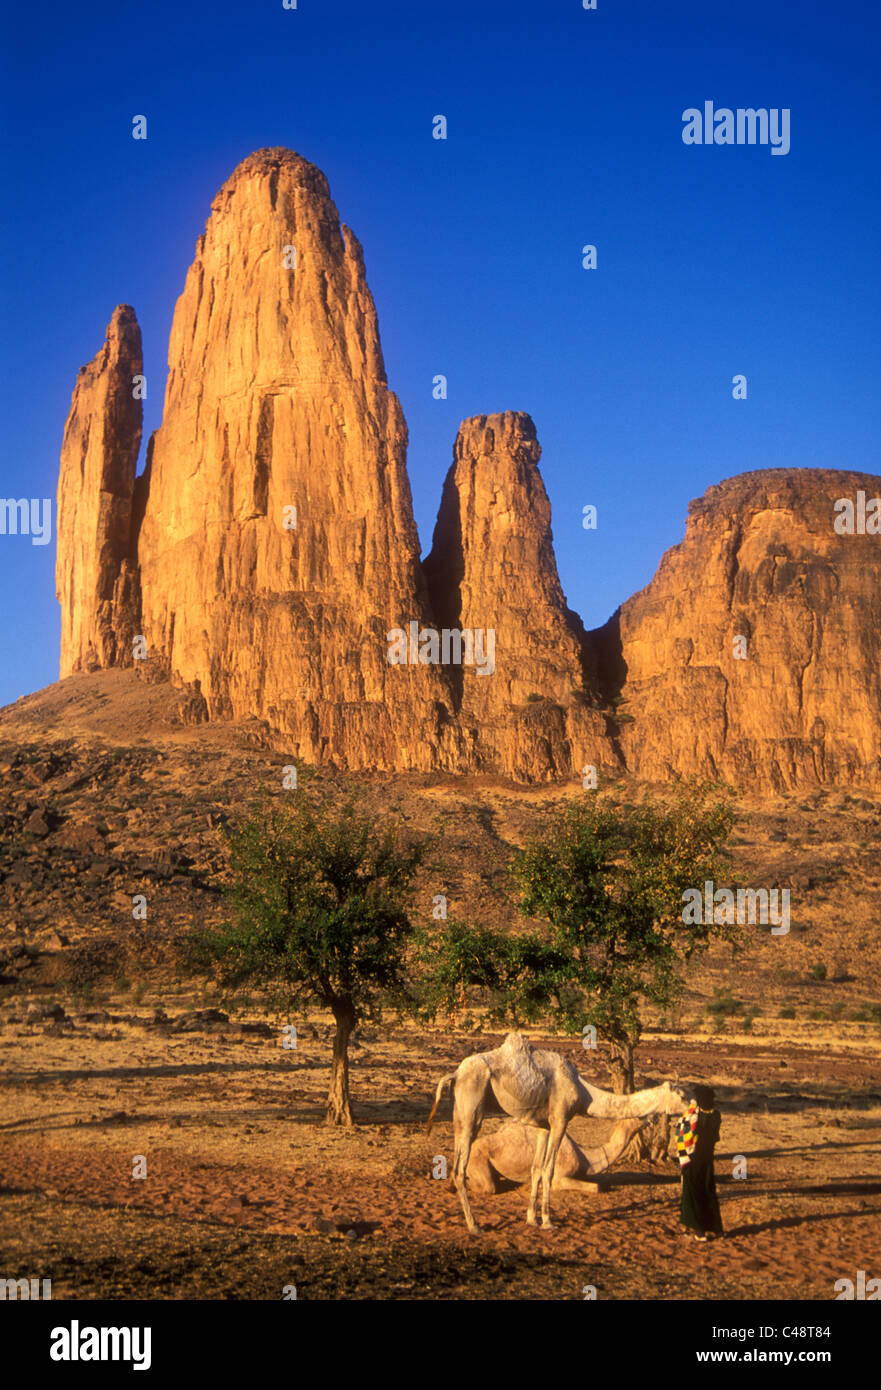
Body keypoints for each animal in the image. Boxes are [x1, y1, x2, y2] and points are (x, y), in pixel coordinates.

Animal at [427, 1031, 686, 1233]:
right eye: (681, 1095)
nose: (692, 1106)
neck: (584, 1093)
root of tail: (455, 1074)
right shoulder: (561, 1119)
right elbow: (549, 1170)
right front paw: (548, 1222)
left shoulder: (544, 1125)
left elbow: (536, 1169)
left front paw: (531, 1219)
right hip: (473, 1104)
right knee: (461, 1169)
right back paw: (474, 1226)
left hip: (460, 1112)